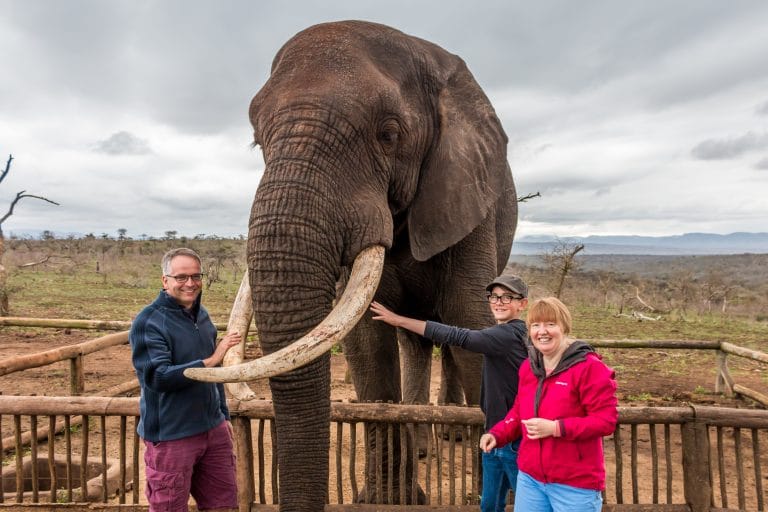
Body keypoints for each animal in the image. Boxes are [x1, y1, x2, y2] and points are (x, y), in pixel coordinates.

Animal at [186, 20, 517, 511]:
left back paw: (450, 438)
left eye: (389, 134)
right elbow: (368, 341)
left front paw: (495, 494)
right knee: (414, 343)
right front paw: (389, 499)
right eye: (257, 140)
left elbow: (470, 320)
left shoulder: (465, 193)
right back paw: (424, 449)